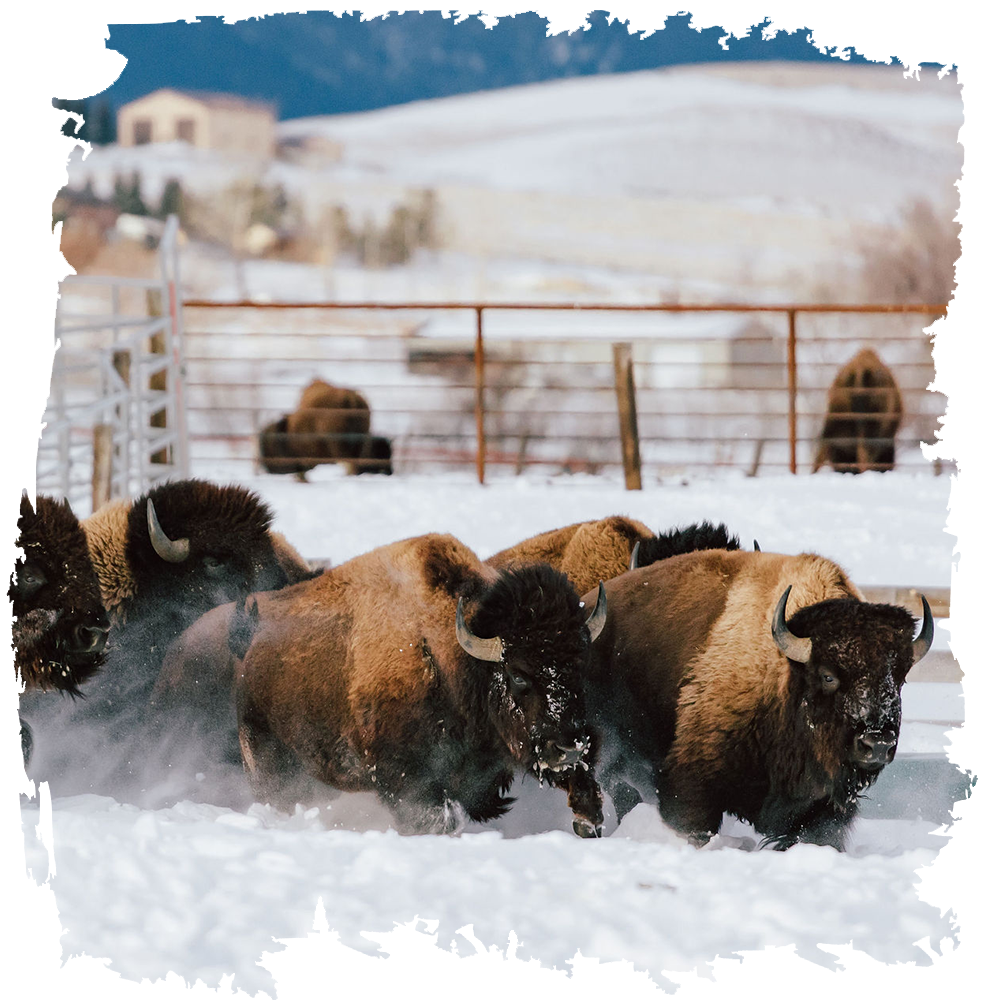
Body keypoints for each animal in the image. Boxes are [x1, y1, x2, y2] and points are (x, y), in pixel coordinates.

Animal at [233, 533, 609, 836]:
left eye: (580, 665)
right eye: (518, 674)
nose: (569, 747)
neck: (450, 657)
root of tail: (251, 645)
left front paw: (588, 820)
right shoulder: (408, 779)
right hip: (268, 760)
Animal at [581, 547, 932, 850]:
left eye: (900, 677)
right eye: (828, 676)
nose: (878, 743)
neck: (783, 675)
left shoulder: (821, 808)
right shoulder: (693, 787)